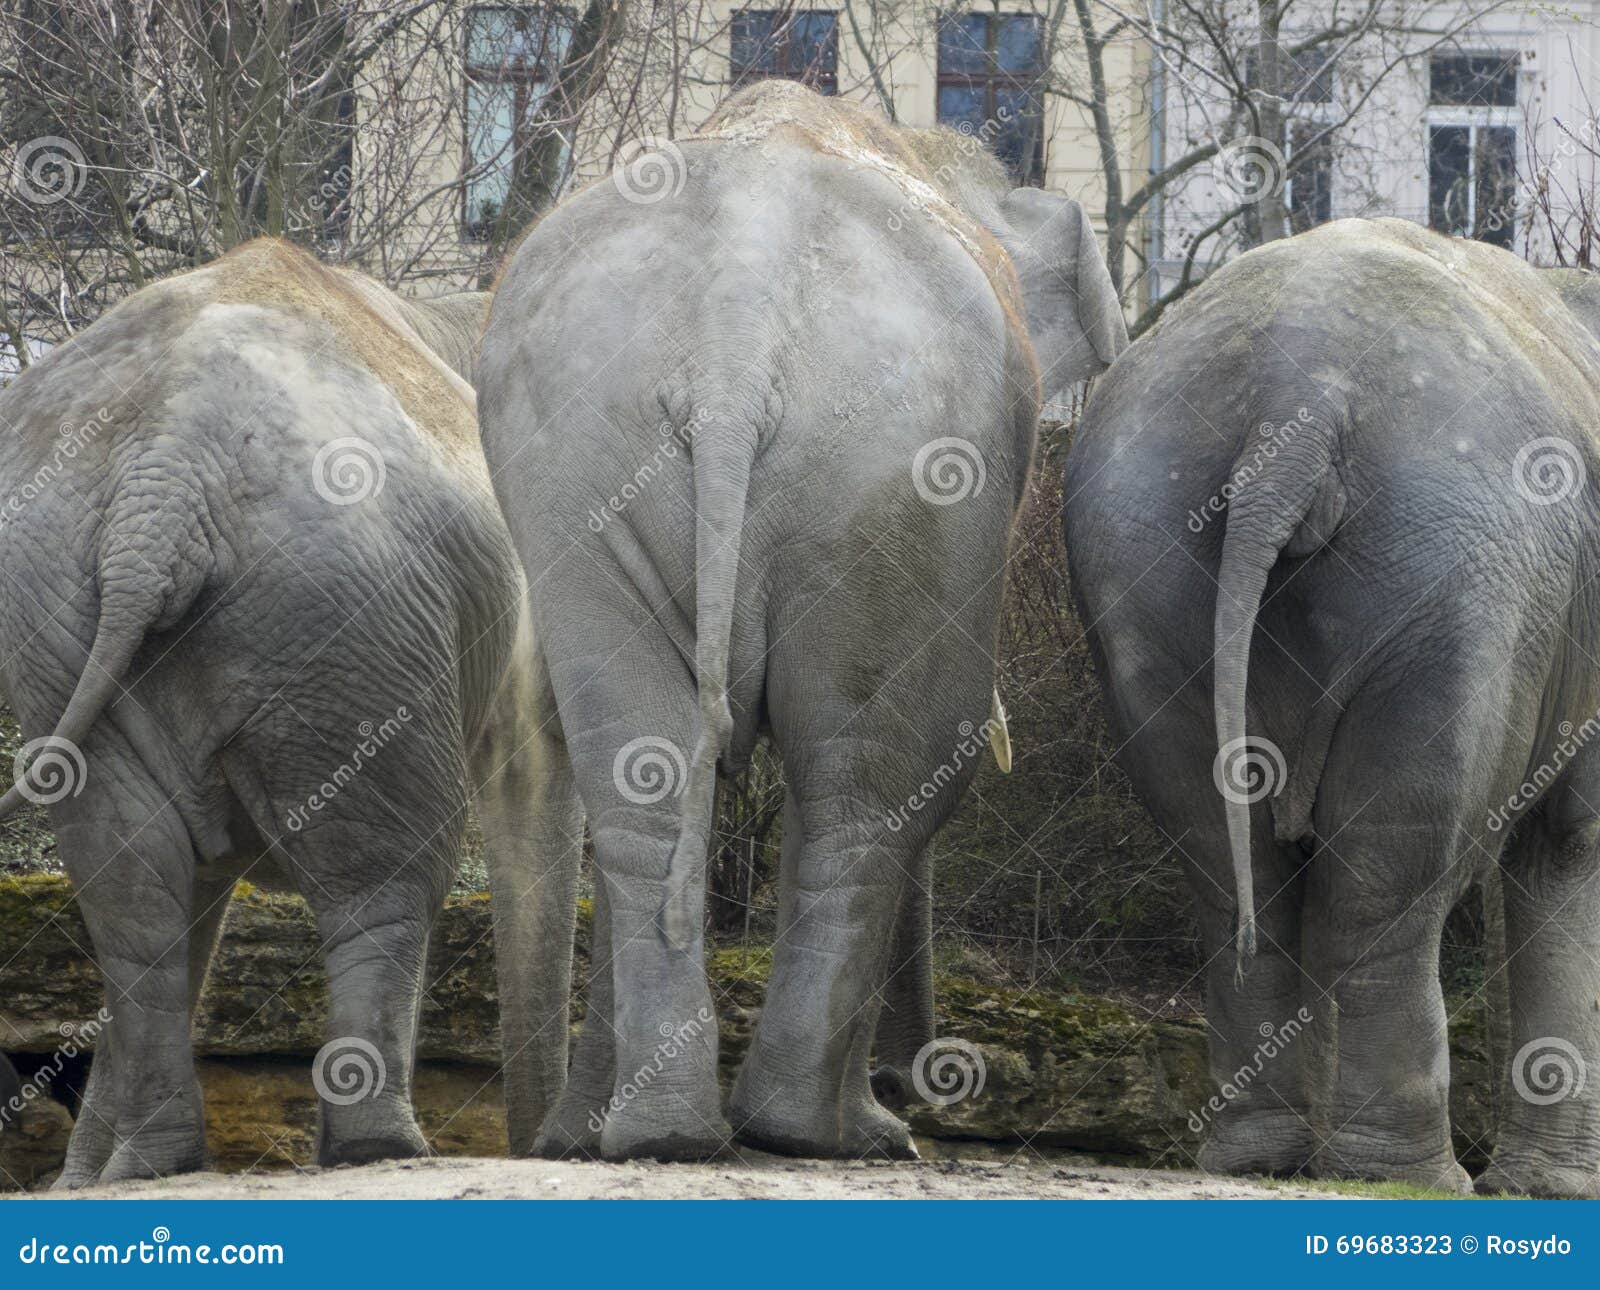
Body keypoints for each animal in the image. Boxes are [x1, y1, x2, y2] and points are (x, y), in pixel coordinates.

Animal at [0, 238, 580, 1184]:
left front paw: (87, 1180)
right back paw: (381, 1149)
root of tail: (161, 481)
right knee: (388, 874)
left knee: (133, 885)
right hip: (345, 611)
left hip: (64, 617)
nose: (544, 1149)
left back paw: (156, 1164)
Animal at [476, 80, 1126, 1162]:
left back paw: (654, 1137)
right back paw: (829, 1137)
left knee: (642, 774)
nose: (918, 1077)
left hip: (586, 462)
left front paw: (585, 1139)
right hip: (893, 472)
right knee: (878, 783)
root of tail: (736, 313)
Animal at [1064, 216, 1600, 1196]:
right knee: (1387, 882)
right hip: (1455, 584)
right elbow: (1570, 843)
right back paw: (1414, 1175)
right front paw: (1557, 1189)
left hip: (1138, 560)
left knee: (1223, 858)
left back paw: (1266, 1158)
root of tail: (1298, 407)